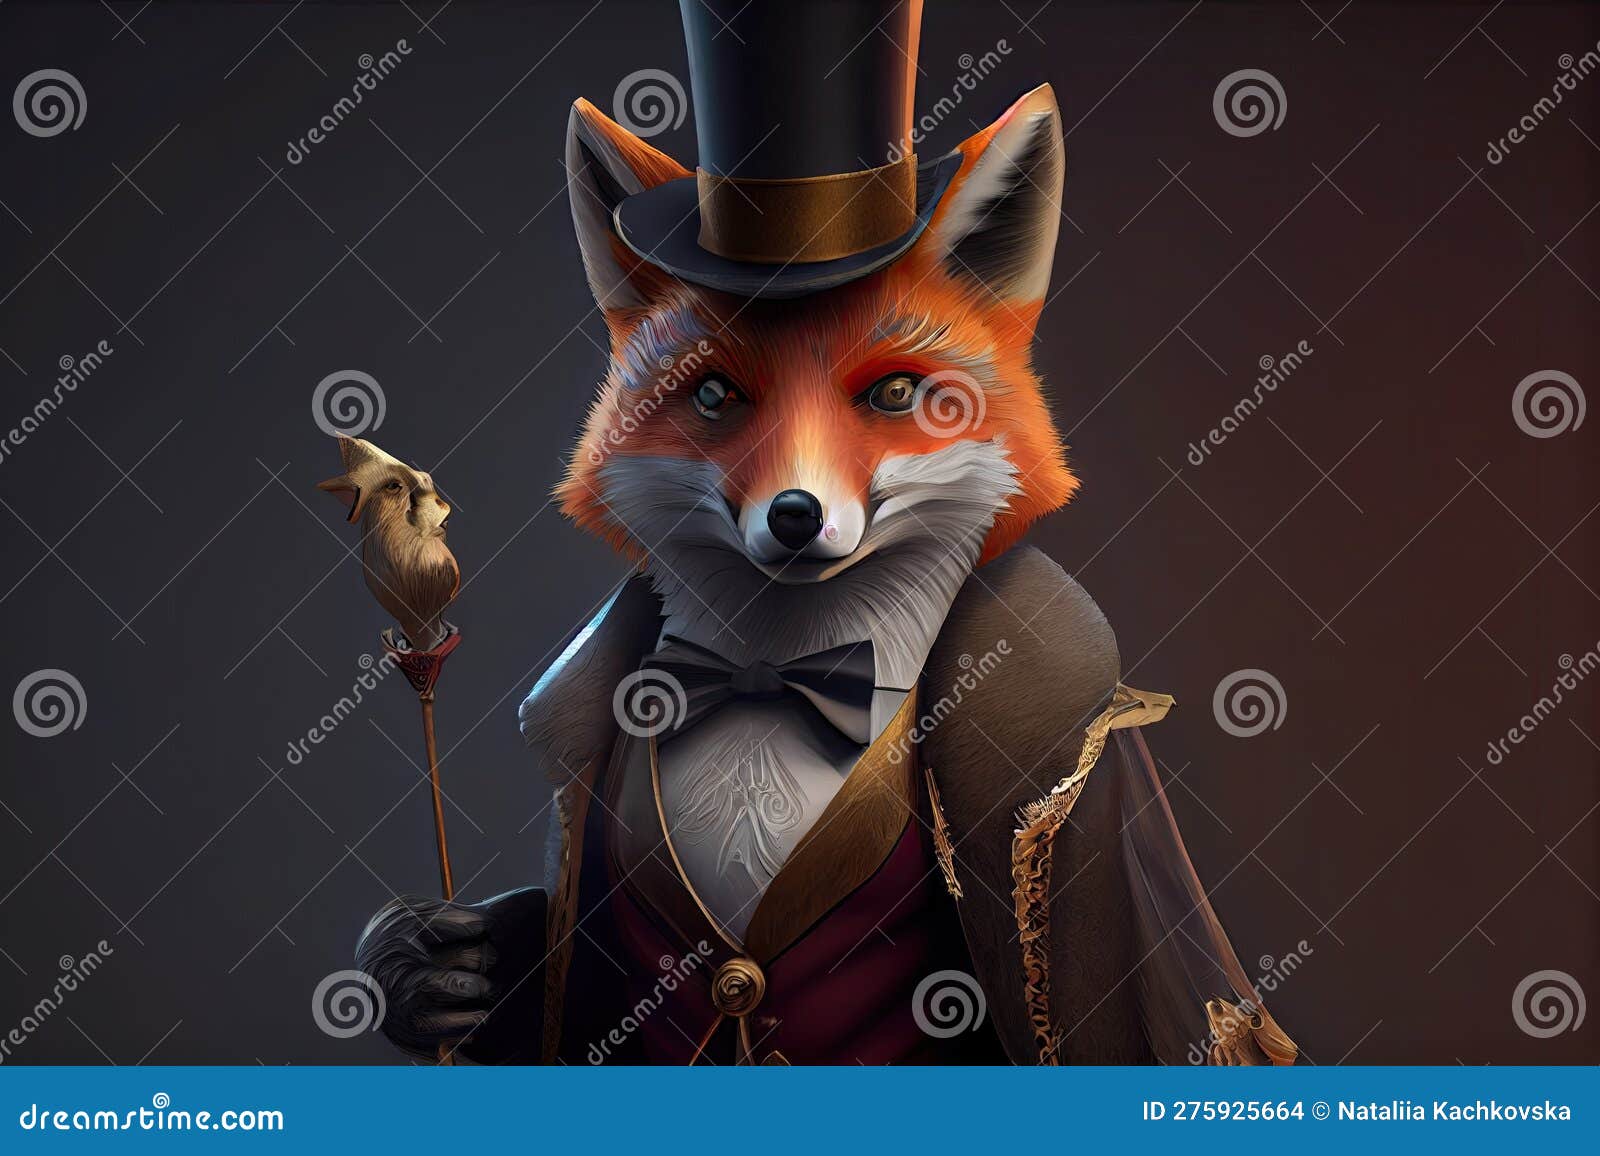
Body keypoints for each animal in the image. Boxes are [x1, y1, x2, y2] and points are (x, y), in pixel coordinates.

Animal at [355, 77, 1296, 1066]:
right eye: (714, 394)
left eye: (894, 393)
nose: (795, 515)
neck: (772, 679)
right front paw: (430, 969)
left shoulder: (1097, 800)